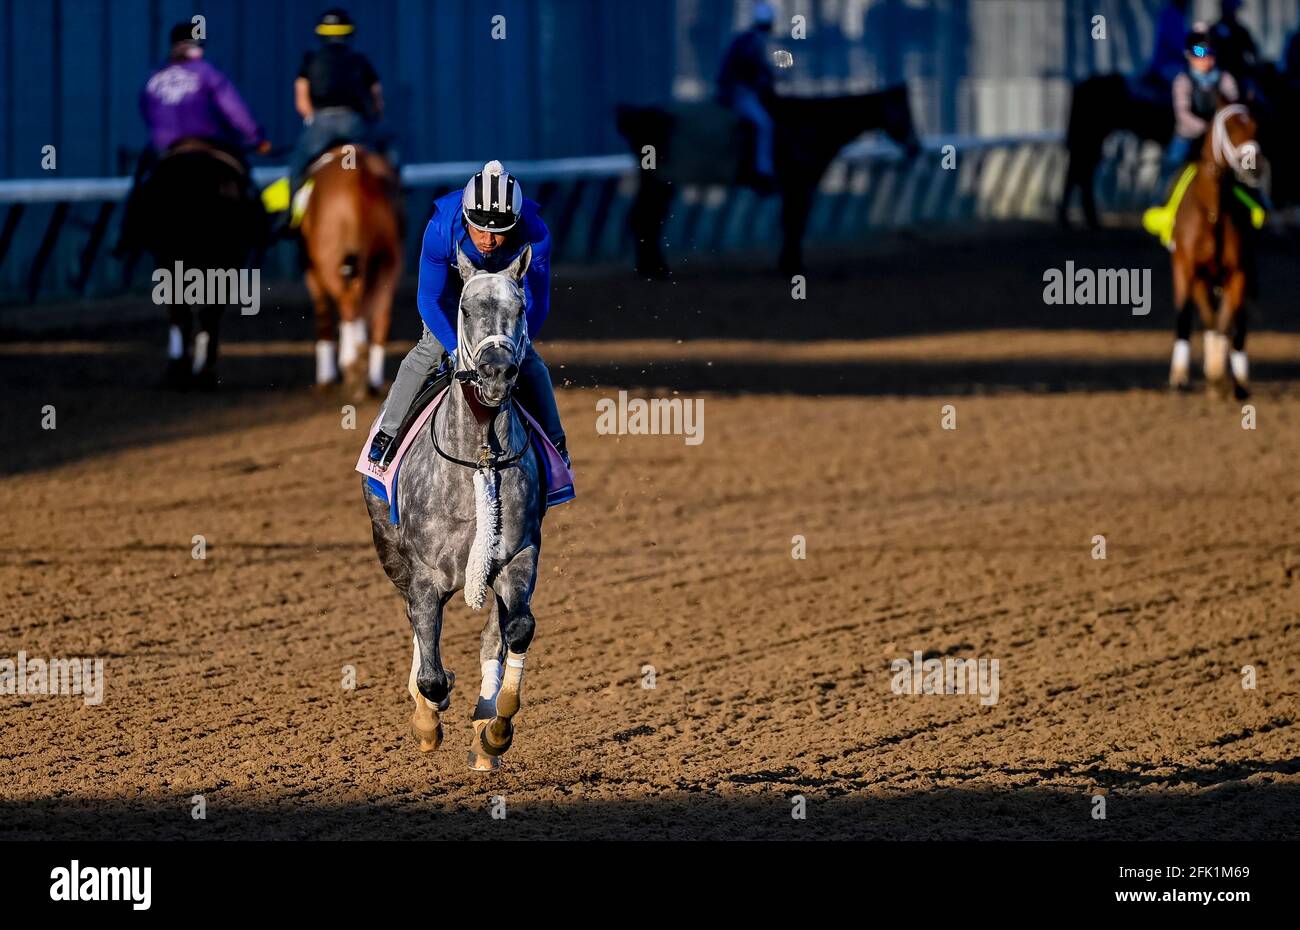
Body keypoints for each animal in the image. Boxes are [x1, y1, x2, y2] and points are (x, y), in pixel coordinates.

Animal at [300, 144, 401, 400]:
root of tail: (360, 176)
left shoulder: (313, 274)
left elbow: (324, 318)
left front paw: (327, 378)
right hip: (389, 262)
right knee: (381, 314)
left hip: (329, 264)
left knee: (347, 303)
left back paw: (352, 364)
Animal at [363, 245, 543, 770]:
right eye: (464, 308)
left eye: (520, 308)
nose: (497, 372)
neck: (478, 457)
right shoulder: (423, 572)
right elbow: (430, 667)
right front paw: (428, 714)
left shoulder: (519, 555)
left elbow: (515, 630)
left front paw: (496, 727)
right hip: (390, 552)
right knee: (416, 626)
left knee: (492, 636)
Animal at [616, 84, 920, 278]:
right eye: (904, 110)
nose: (915, 147)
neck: (811, 122)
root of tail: (639, 115)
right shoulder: (799, 184)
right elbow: (794, 222)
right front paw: (792, 265)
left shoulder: (796, 186)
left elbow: (792, 222)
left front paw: (790, 263)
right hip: (661, 180)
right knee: (645, 218)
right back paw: (655, 270)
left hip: (655, 181)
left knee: (643, 217)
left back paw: (651, 268)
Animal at [1166, 101, 1262, 400]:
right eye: (1229, 126)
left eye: (1256, 126)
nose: (1254, 167)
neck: (1212, 214)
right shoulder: (1186, 267)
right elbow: (1186, 315)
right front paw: (1179, 378)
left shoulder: (1238, 271)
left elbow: (1233, 321)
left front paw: (1236, 381)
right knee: (1206, 315)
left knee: (1221, 319)